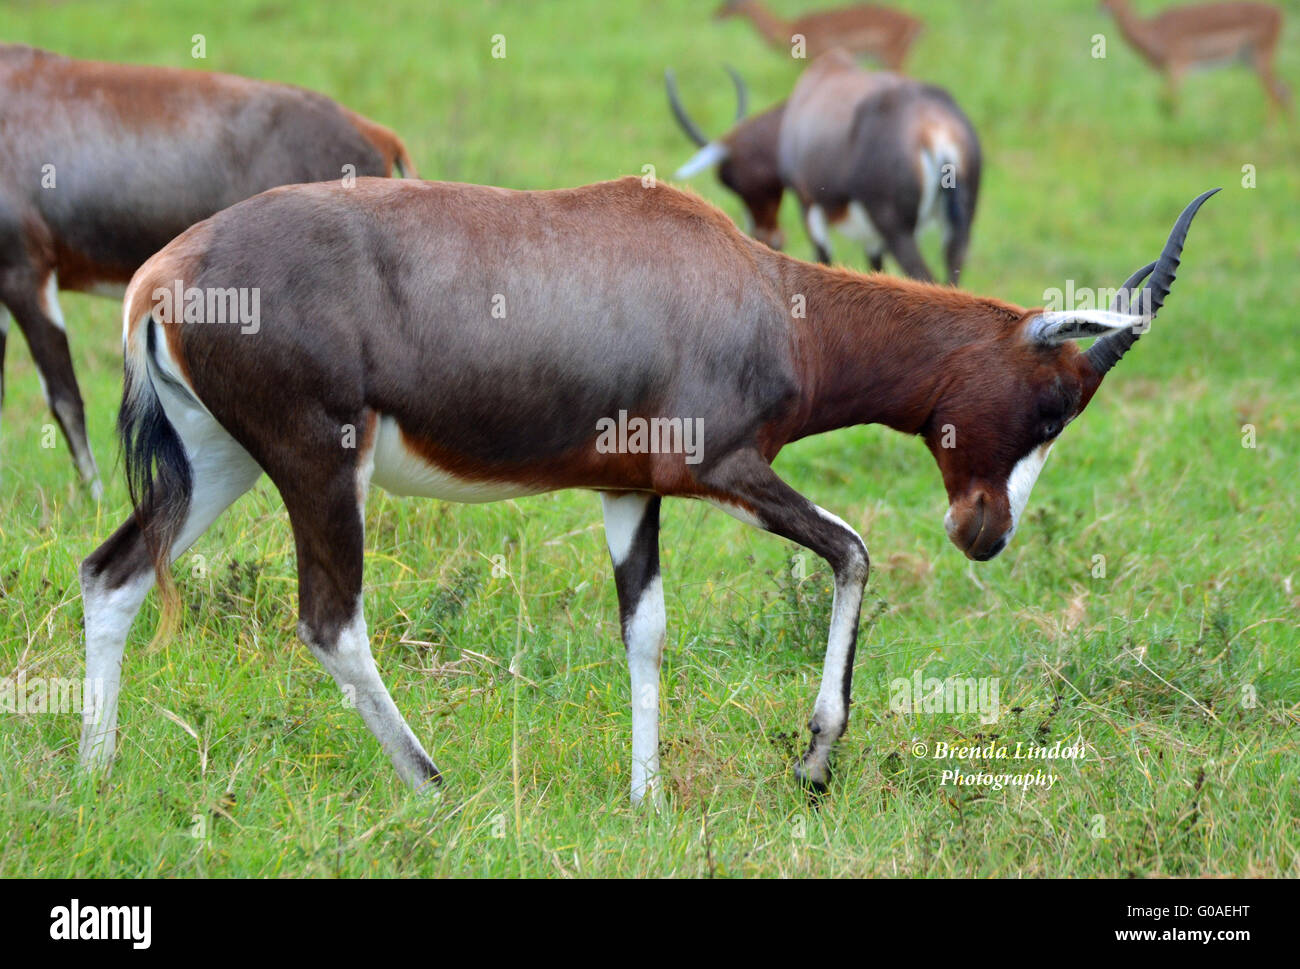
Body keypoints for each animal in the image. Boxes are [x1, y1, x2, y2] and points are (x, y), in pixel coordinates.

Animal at [77, 175, 1215, 806]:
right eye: (1054, 405)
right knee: (329, 619)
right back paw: (436, 785)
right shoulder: (720, 470)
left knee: (113, 573)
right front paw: (812, 764)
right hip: (320, 463)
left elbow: (645, 629)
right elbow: (852, 548)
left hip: (220, 462)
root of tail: (166, 275)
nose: (984, 532)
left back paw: (97, 772)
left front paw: (648, 796)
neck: (758, 288)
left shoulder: (630, 491)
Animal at [669, 52, 981, 282]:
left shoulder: (808, 205)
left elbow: (822, 258)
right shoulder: (872, 236)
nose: (767, 237)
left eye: (729, 179)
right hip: (956, 232)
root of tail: (934, 128)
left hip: (897, 232)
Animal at [1100, 0, 1292, 113]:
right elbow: (1165, 100)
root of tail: (1279, 12)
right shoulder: (1168, 72)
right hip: (1249, 60)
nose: (1102, 7)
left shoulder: (1179, 67)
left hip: (1262, 57)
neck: (1154, 30)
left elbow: (1172, 102)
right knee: (1284, 89)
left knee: (1274, 95)